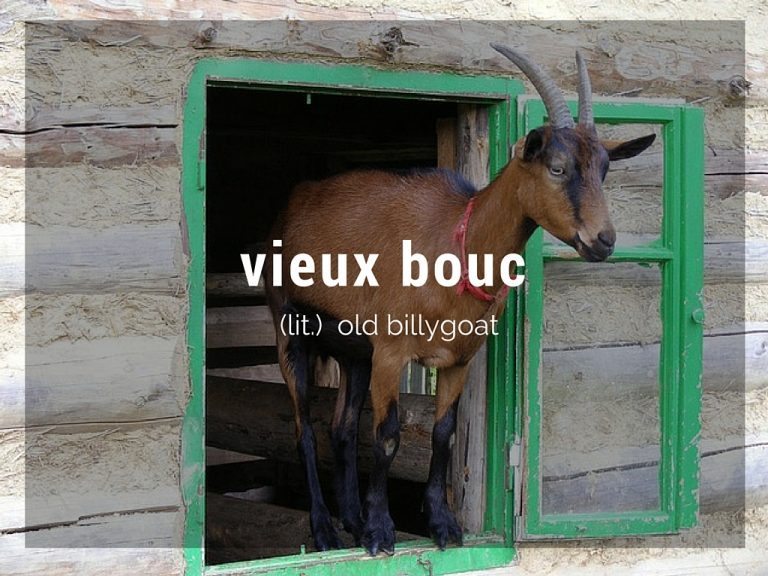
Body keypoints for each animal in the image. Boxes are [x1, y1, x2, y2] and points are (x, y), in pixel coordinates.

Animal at [264, 44, 656, 555]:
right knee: (305, 431)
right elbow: (387, 436)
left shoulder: (459, 359)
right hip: (289, 328)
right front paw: (381, 532)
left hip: (353, 352)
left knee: (342, 430)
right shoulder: (391, 352)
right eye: (557, 168)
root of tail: (293, 206)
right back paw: (326, 529)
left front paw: (442, 524)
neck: (456, 243)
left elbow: (443, 435)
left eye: (605, 171)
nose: (603, 241)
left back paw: (349, 518)